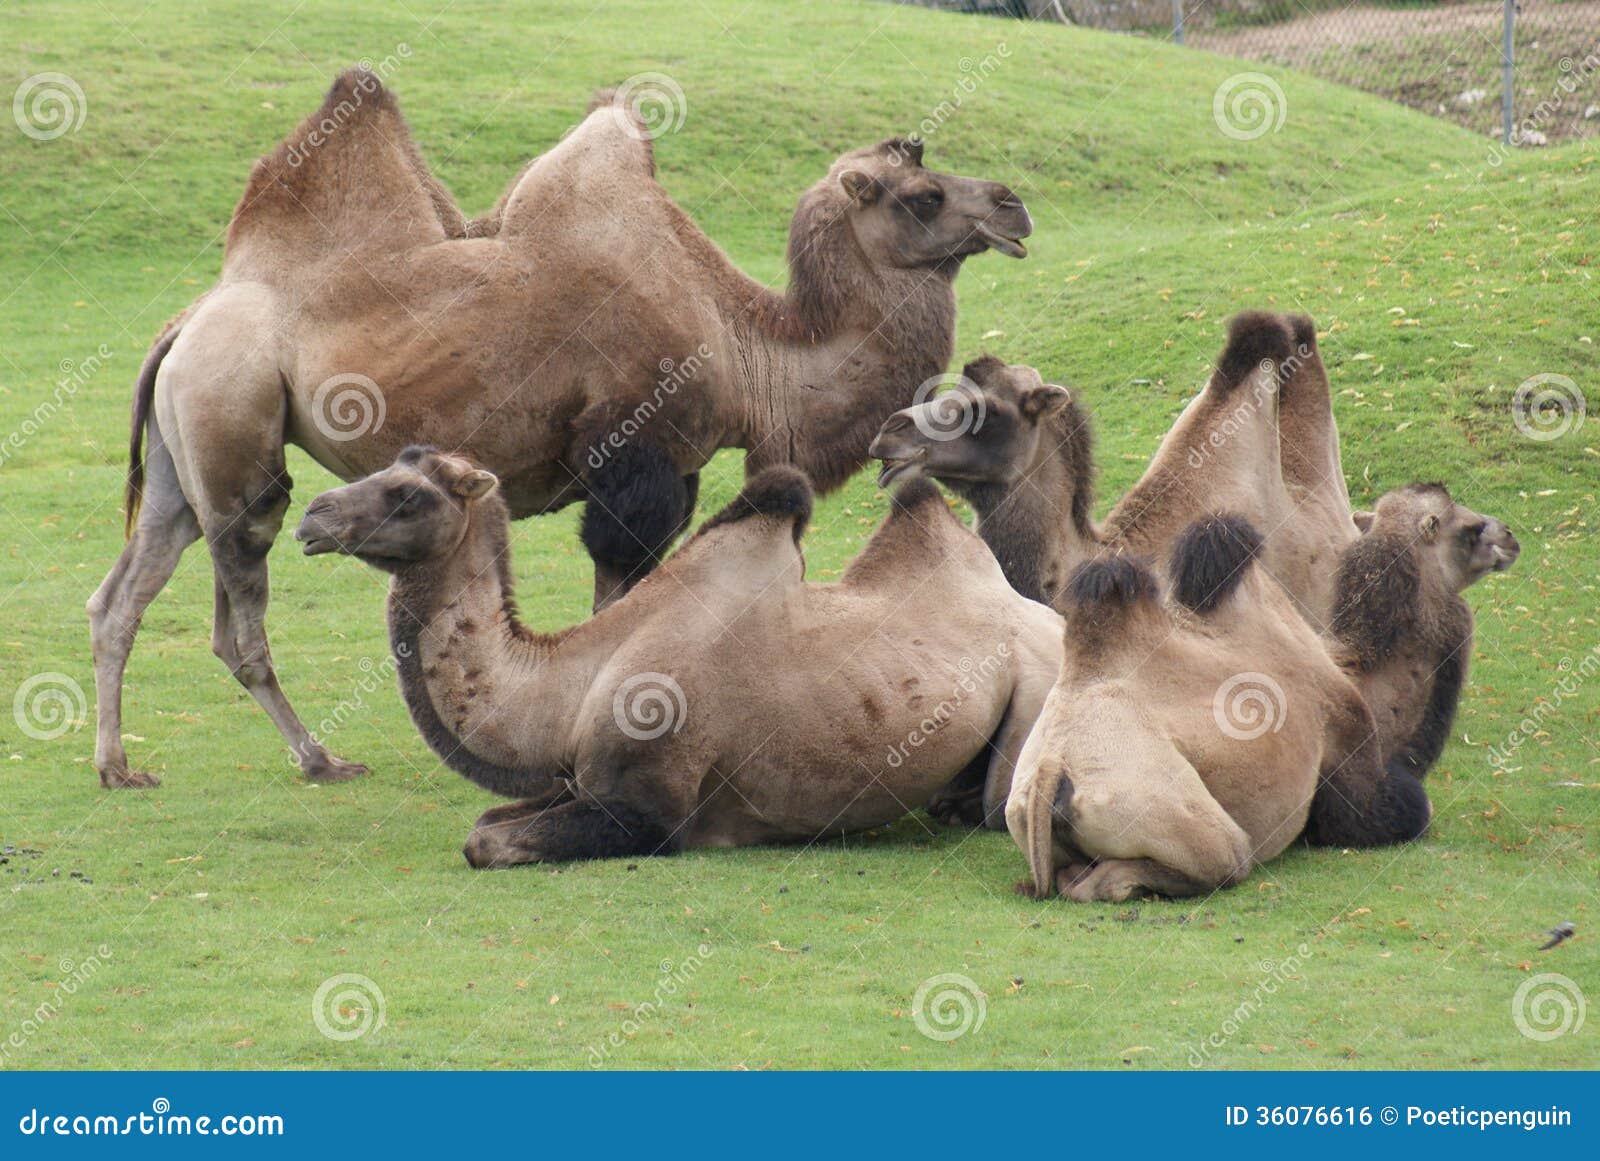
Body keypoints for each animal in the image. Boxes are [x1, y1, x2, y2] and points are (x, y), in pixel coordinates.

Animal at [89, 68, 1033, 788]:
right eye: (924, 196)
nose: (1015, 206)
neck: (746, 344)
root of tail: (186, 322)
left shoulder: (680, 464)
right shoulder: (634, 455)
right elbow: (619, 588)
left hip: (183, 457)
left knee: (122, 593)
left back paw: (118, 766)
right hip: (235, 434)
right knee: (238, 614)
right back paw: (320, 758)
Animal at [290, 448, 1063, 865]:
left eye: (406, 494)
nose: (312, 515)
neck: (568, 690)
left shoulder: (651, 811)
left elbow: (484, 842)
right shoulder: (578, 779)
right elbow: (485, 823)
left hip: (1037, 696)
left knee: (994, 803)